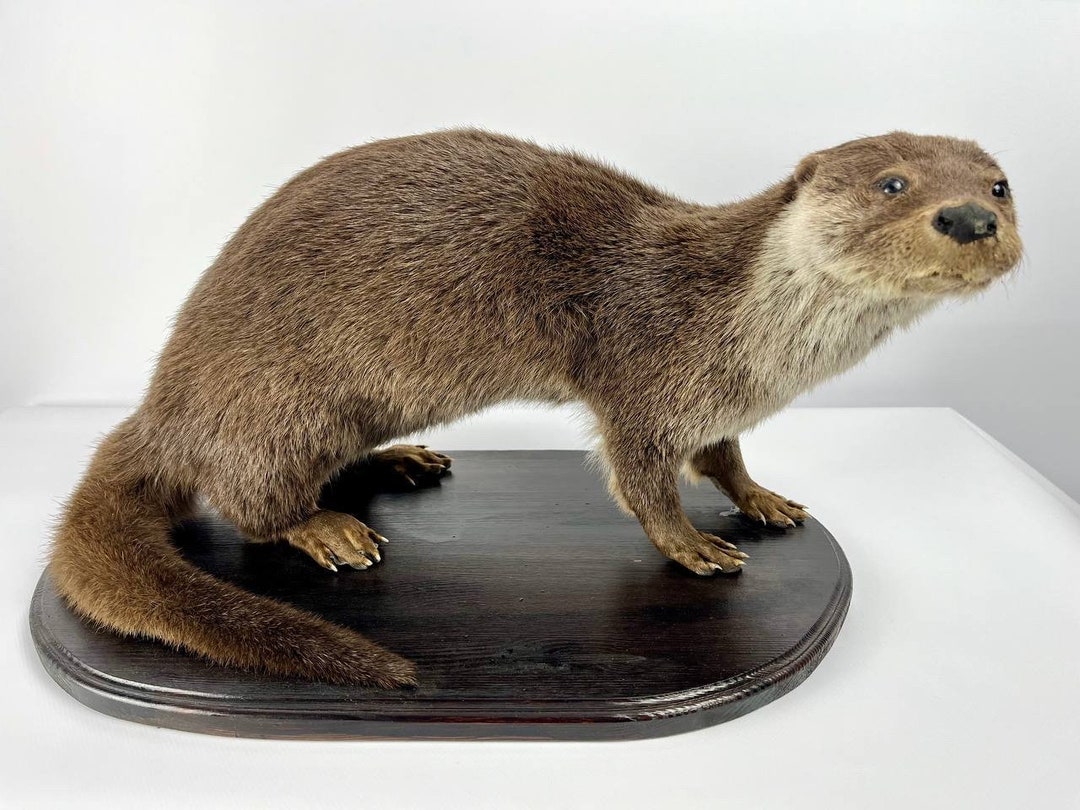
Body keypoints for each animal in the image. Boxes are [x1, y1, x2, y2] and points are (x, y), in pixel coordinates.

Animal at [48, 130, 1022, 686]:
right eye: (893, 184)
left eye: (1000, 184)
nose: (970, 218)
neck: (751, 324)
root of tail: (163, 403)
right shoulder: (647, 375)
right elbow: (642, 477)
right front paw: (693, 546)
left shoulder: (717, 399)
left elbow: (723, 456)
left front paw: (762, 499)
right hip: (276, 402)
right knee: (250, 501)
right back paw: (328, 528)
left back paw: (400, 460)